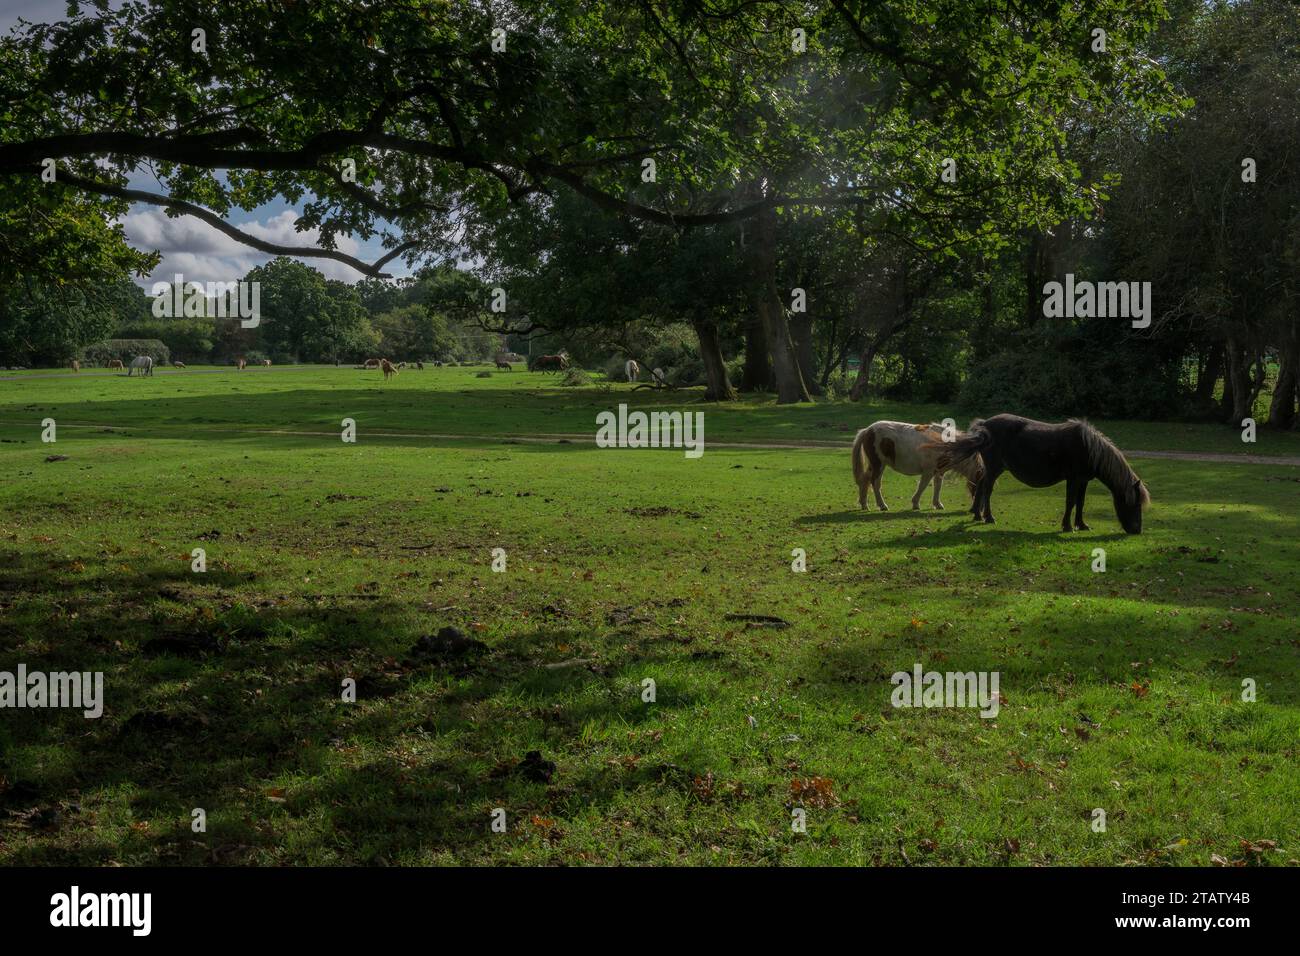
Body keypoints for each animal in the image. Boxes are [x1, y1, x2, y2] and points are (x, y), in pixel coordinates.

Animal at [852, 421, 984, 512]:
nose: (981, 508)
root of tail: (868, 430)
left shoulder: (939, 472)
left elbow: (938, 487)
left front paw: (937, 504)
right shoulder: (928, 472)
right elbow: (922, 486)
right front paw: (915, 504)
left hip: (874, 465)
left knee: (865, 480)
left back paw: (864, 505)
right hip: (879, 465)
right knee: (875, 483)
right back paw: (882, 505)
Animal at [936, 414, 1150, 534]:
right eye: (1133, 504)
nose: (1137, 530)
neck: (1088, 448)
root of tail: (985, 425)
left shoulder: (1083, 481)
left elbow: (1080, 503)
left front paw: (1081, 525)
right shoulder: (1073, 479)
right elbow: (1070, 502)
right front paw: (1067, 526)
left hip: (993, 469)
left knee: (980, 487)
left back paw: (977, 515)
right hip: (994, 468)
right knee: (987, 490)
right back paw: (988, 517)